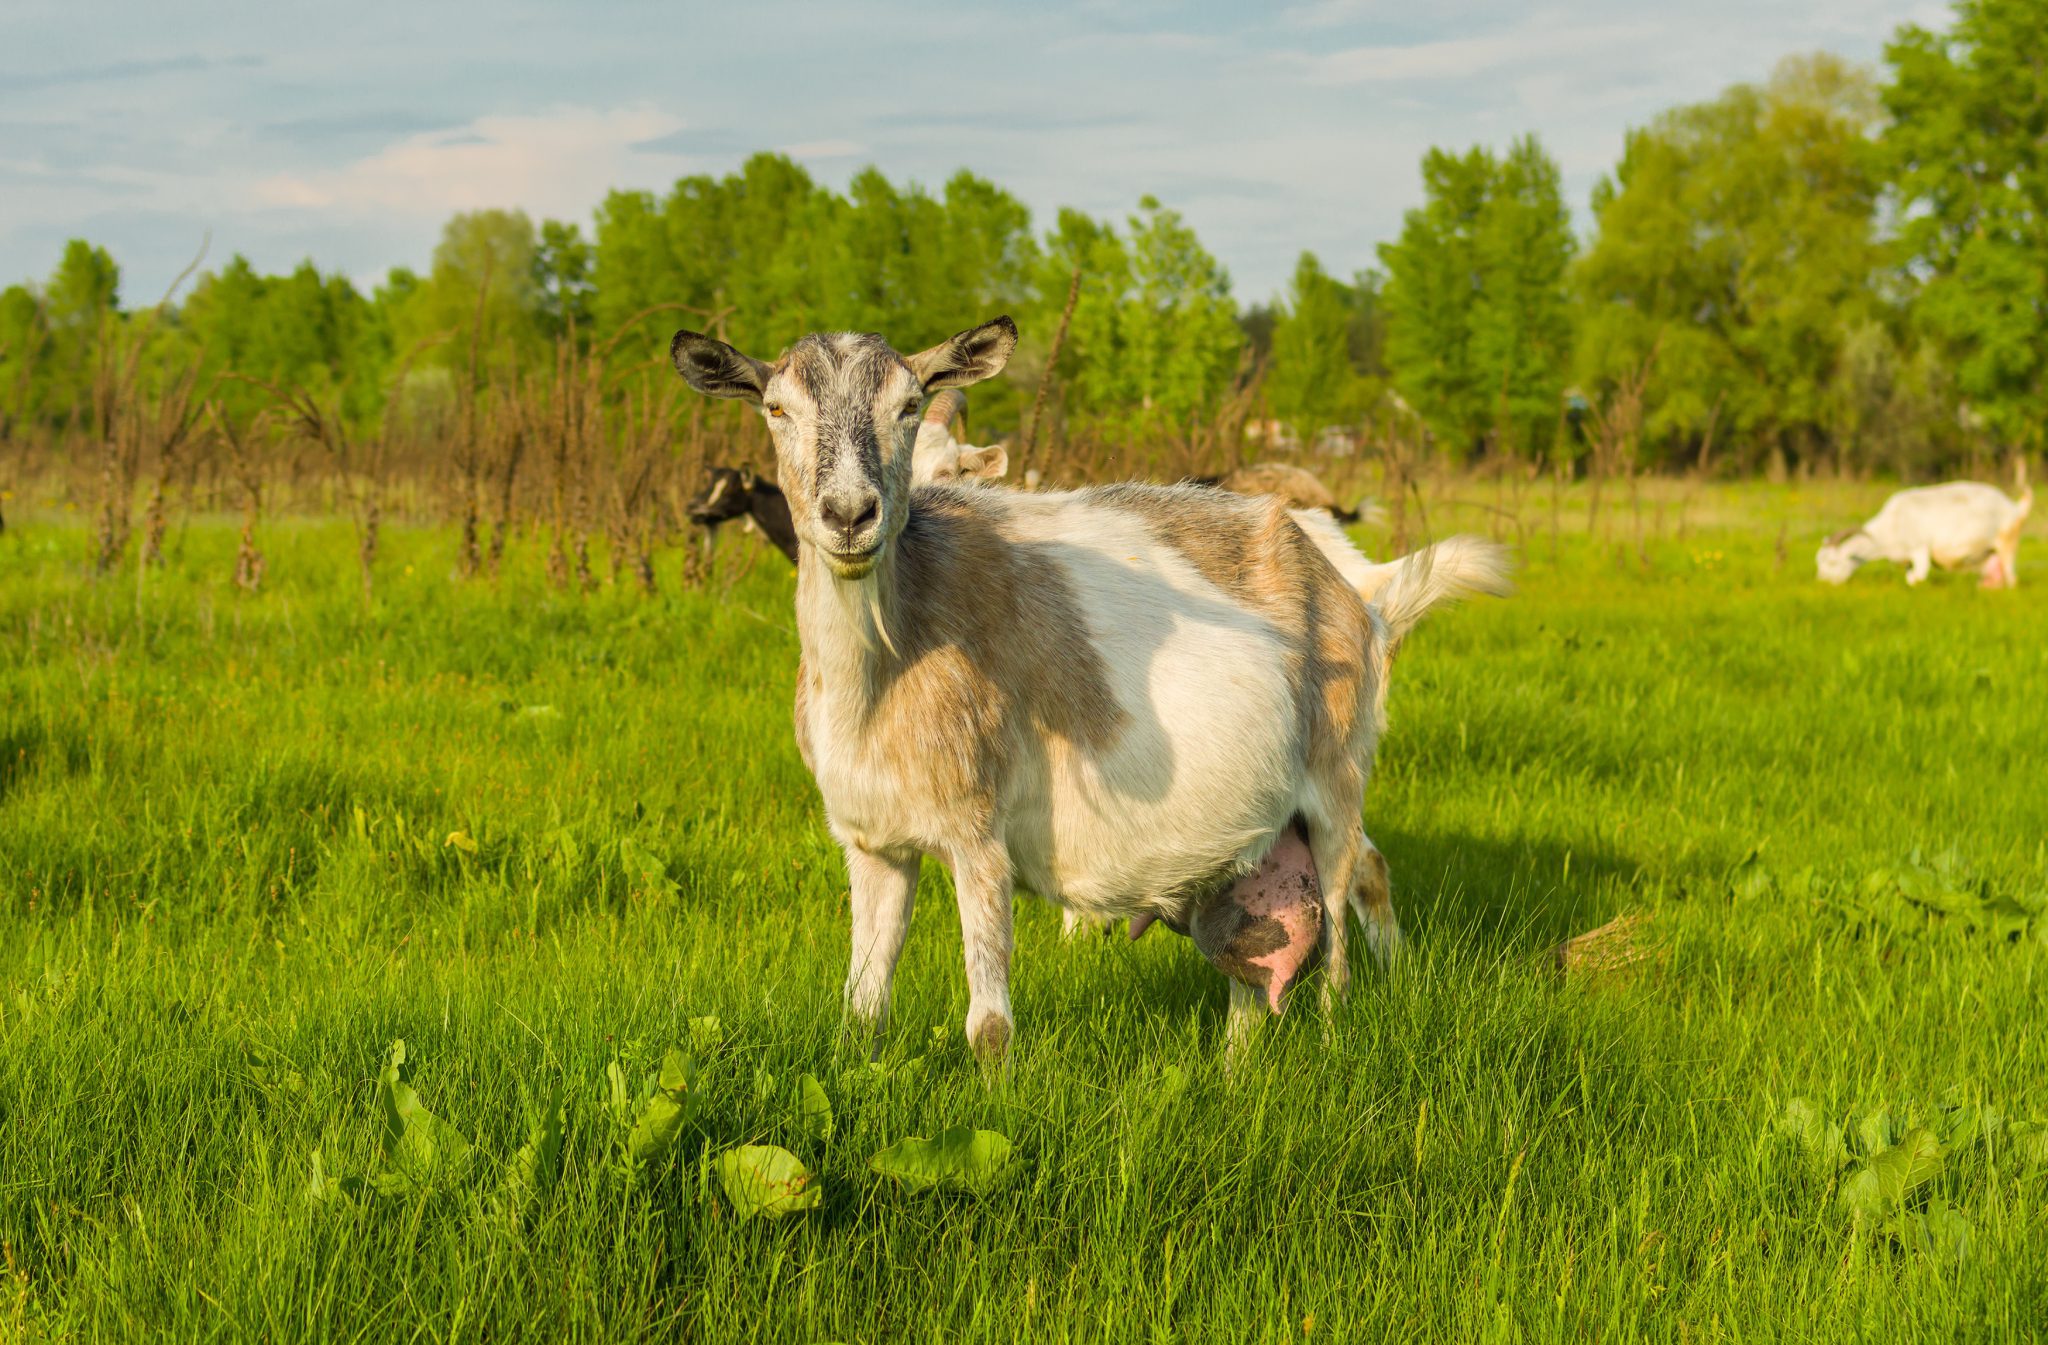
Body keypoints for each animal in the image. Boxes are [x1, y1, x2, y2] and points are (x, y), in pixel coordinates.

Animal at [671, 316, 1509, 1056]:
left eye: (907, 405)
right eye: (776, 408)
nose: (850, 513)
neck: (889, 661)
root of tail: (1358, 591)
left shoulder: (979, 833)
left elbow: (990, 1027)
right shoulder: (872, 840)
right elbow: (862, 1006)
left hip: (1338, 784)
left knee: (1339, 935)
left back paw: (1335, 1042)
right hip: (1256, 840)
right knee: (1251, 967)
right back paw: (1234, 1071)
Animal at [1817, 472, 2032, 587]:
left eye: (1832, 561)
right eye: (1818, 561)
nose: (1822, 583)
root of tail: (2014, 507)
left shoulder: (1920, 550)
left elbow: (1917, 579)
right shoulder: (1907, 560)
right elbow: (1911, 578)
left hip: (2007, 542)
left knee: (2012, 579)